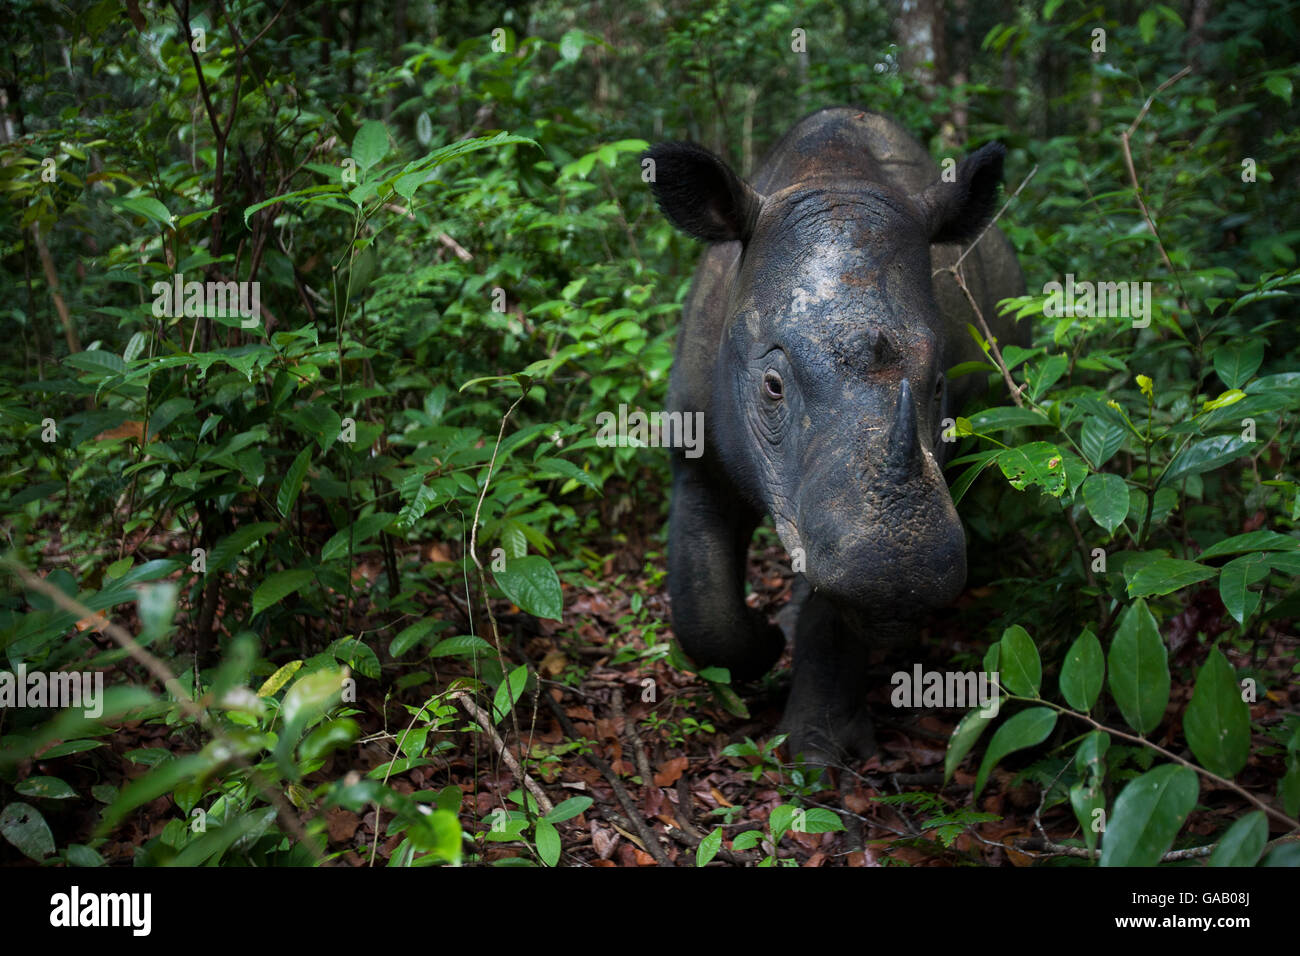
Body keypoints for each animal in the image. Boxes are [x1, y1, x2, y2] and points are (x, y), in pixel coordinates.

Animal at [645, 107, 1026, 763]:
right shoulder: (694, 451)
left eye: (940, 387)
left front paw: (815, 754)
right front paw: (763, 646)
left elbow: (836, 607)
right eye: (772, 385)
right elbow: (702, 603)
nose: (905, 572)